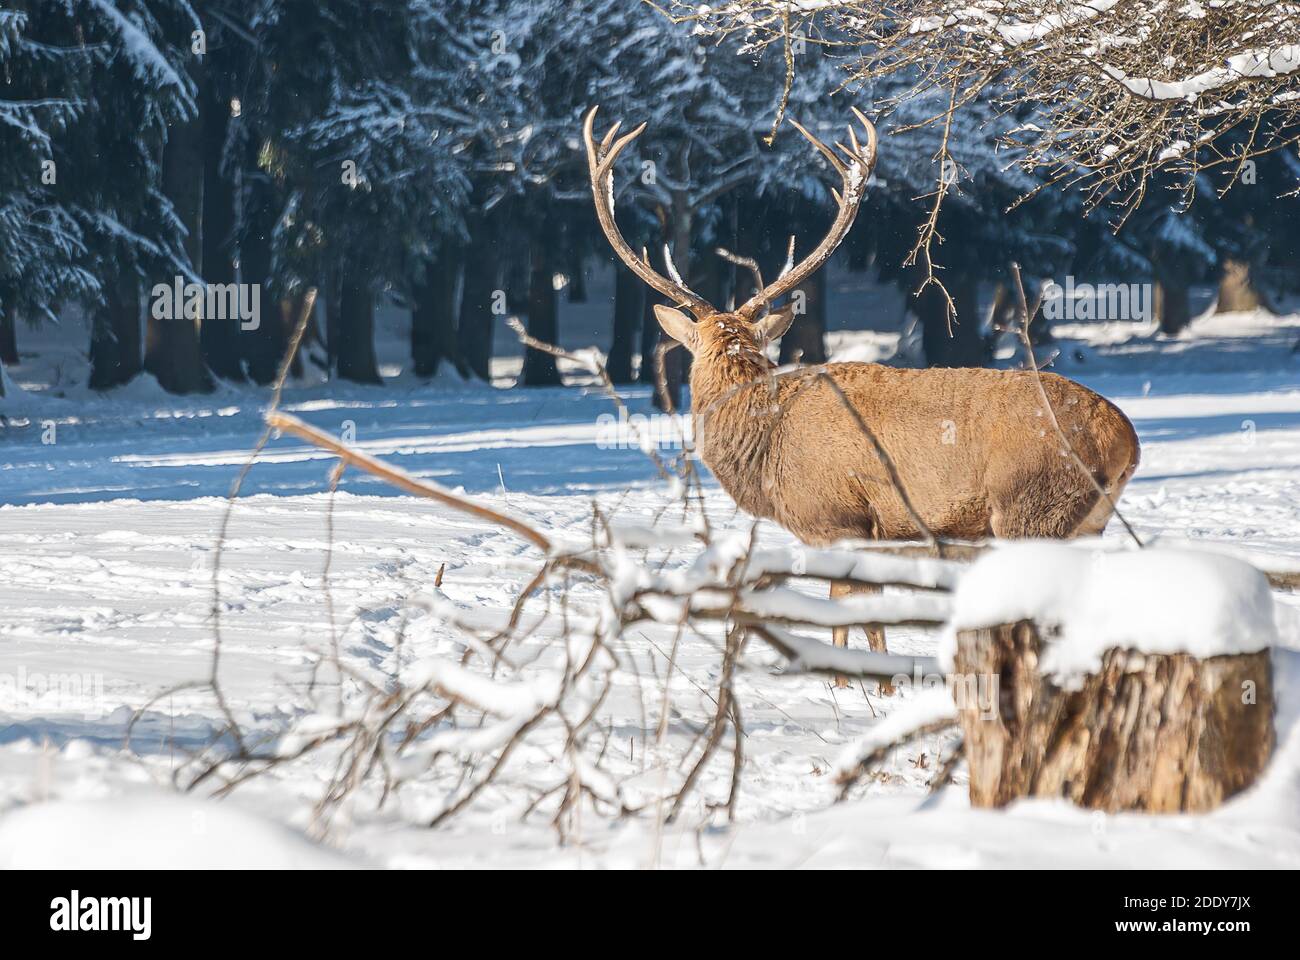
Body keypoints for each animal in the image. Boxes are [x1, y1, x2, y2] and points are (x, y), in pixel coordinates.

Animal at [582, 106, 1141, 677]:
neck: (765, 444)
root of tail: (1126, 436)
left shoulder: (838, 518)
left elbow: (850, 613)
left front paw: (856, 683)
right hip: (1088, 524)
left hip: (1029, 508)